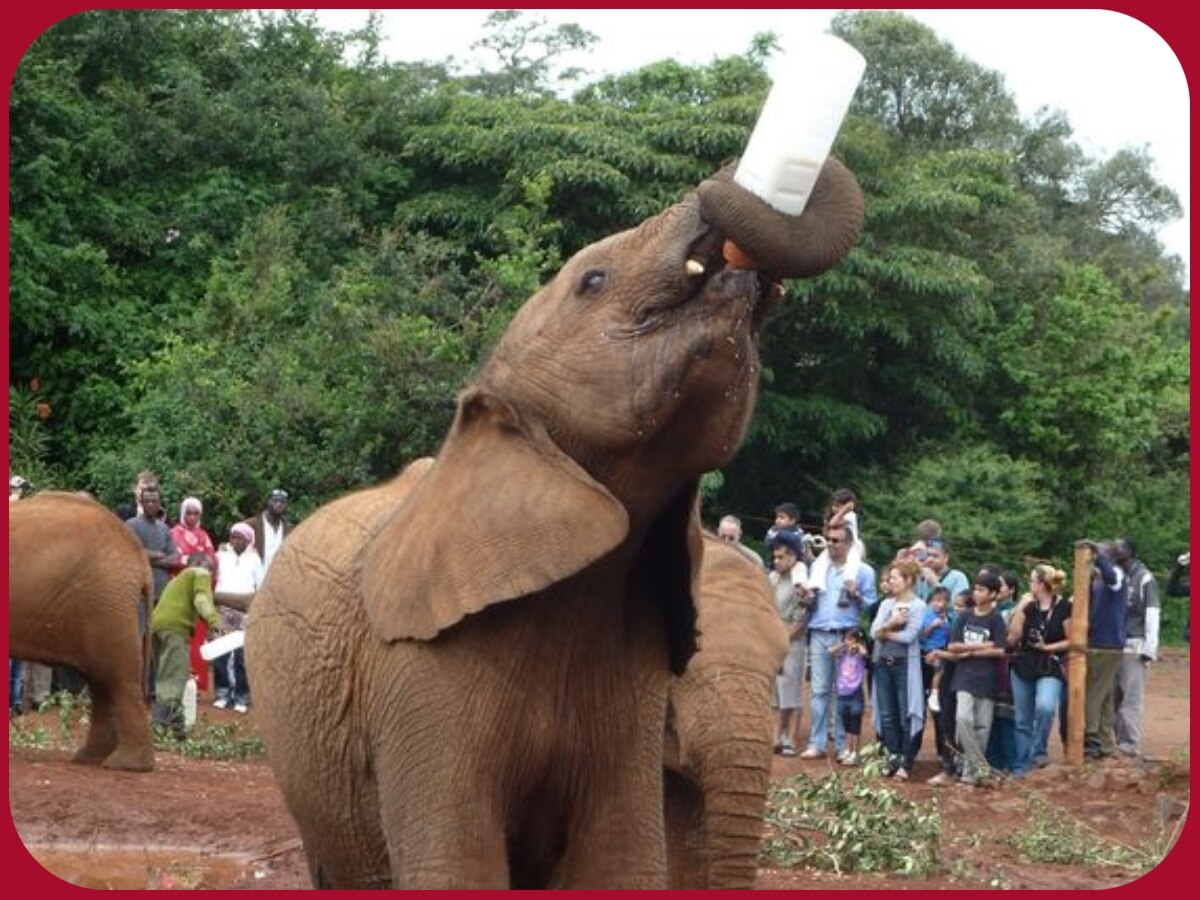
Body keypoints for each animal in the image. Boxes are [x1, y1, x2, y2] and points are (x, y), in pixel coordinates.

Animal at [8, 491, 156, 771]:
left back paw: (125, 764)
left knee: (117, 677)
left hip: (107, 603)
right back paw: (90, 758)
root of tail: (140, 557)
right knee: (101, 681)